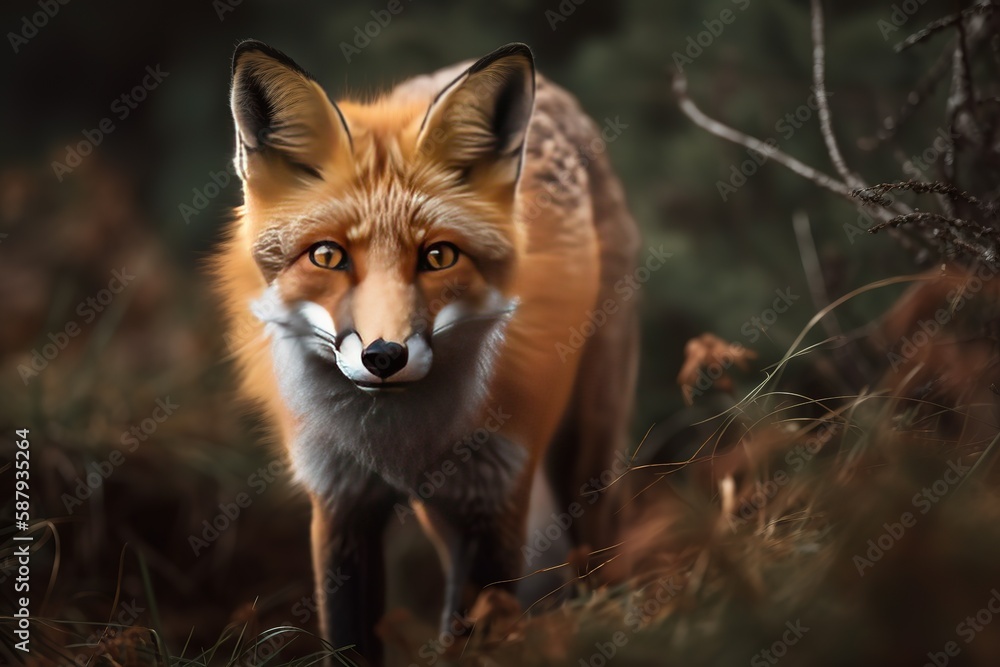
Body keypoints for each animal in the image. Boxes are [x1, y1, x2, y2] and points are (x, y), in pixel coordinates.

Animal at [215, 39, 639, 663]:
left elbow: (474, 638)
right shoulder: (342, 503)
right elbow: (350, 640)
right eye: (327, 256)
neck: (398, 443)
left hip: (584, 448)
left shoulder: (496, 495)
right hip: (441, 510)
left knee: (597, 555)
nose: (384, 356)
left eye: (439, 256)